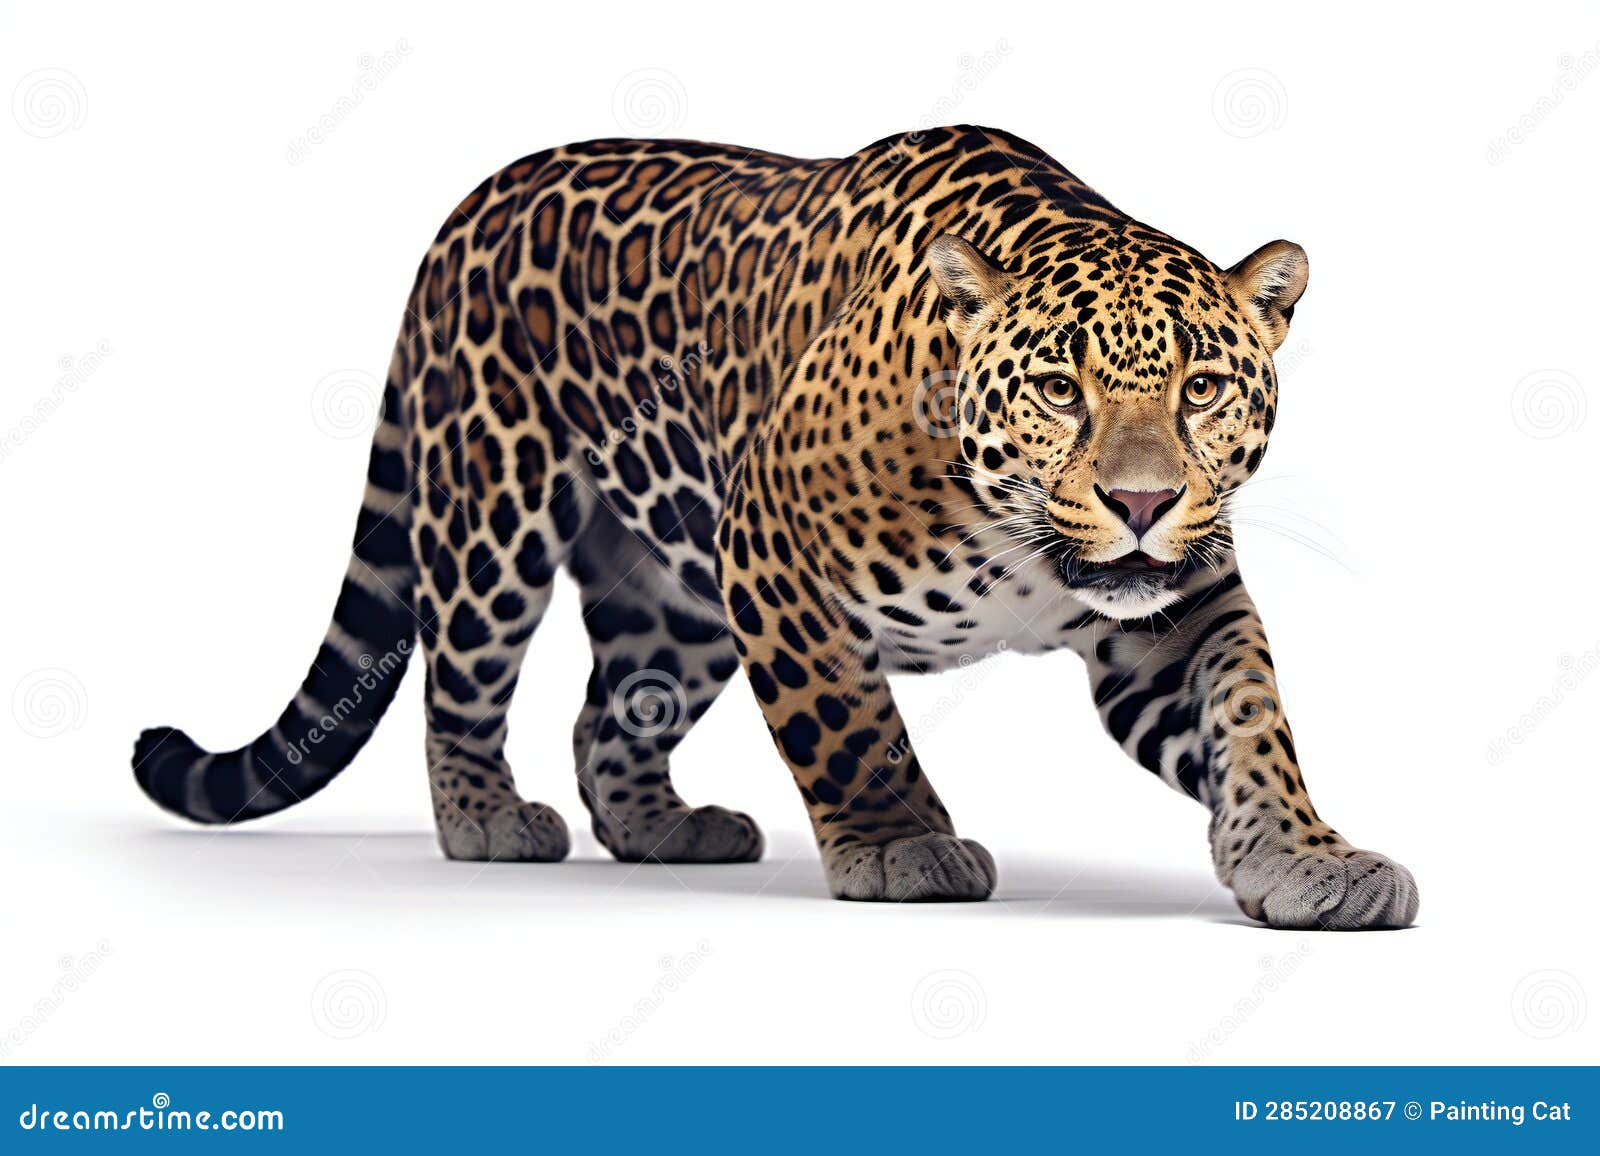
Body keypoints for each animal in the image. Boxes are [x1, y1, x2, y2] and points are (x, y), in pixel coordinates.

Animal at [133, 125, 1418, 929]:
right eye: (1061, 389)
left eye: (1201, 387)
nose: (1142, 504)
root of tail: (468, 206)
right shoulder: (774, 551)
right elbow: (851, 724)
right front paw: (899, 845)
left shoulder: (1174, 615)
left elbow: (1250, 719)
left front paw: (1306, 858)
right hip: (495, 511)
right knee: (461, 681)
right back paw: (487, 819)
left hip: (674, 586)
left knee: (609, 718)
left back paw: (662, 827)